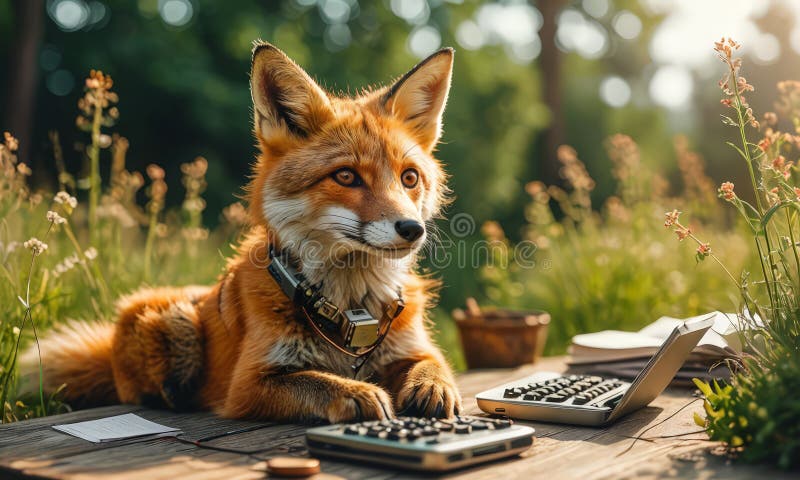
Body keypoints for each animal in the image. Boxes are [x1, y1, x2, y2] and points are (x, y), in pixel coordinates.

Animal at [22, 41, 462, 423]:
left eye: (409, 178)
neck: (353, 308)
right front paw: (356, 391)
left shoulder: (411, 347)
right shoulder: (248, 384)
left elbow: (434, 365)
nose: (412, 229)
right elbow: (317, 381)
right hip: (172, 321)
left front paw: (434, 386)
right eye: (346, 176)